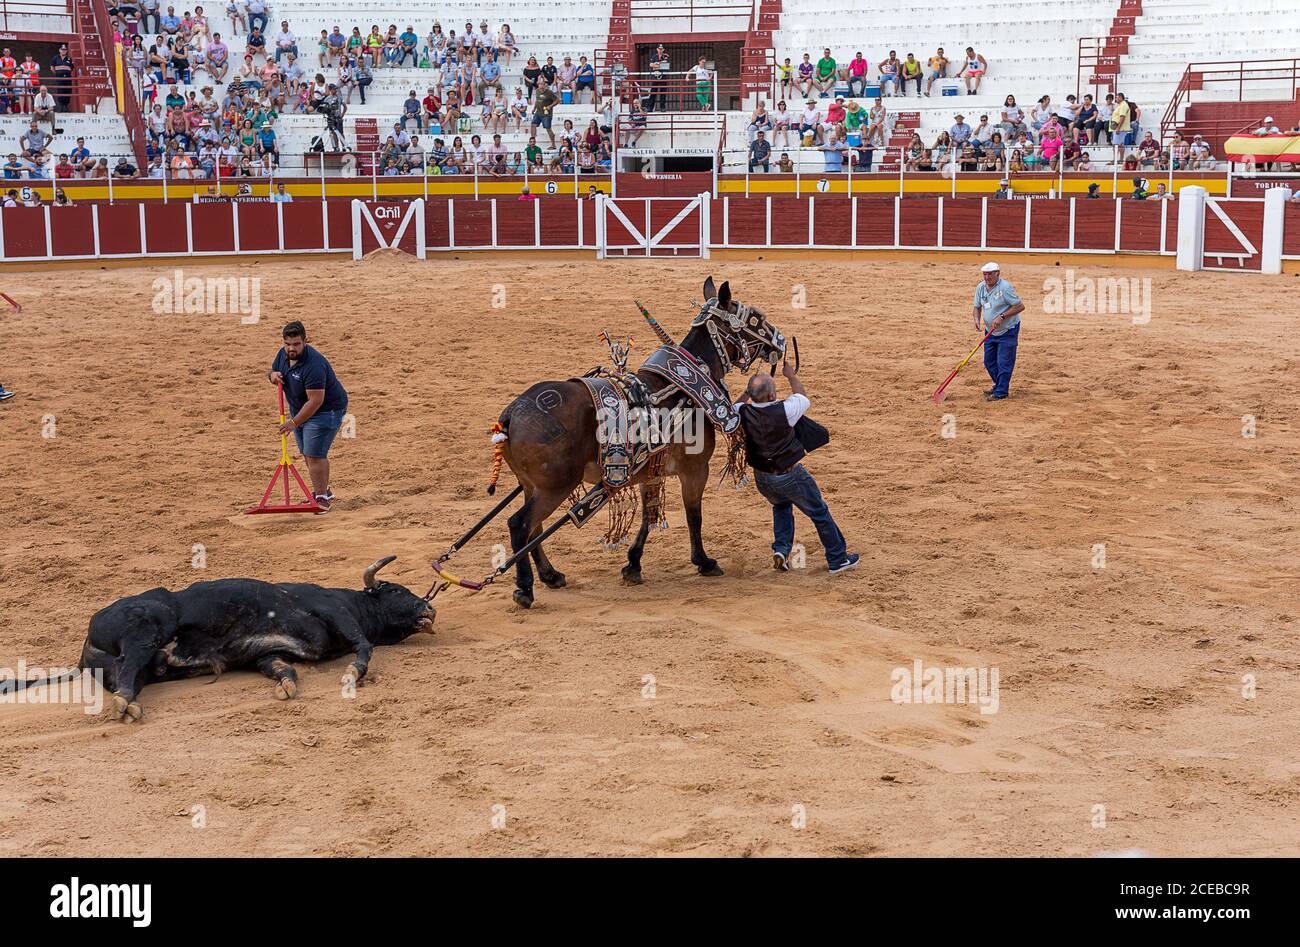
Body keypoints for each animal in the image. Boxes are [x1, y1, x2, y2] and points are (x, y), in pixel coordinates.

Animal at [9, 556, 435, 723]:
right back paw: (128, 703)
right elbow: (361, 646)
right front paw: (353, 673)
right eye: (396, 590)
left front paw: (285, 686)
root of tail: (86, 643)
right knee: (130, 668)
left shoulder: (264, 655)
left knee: (132, 675)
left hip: (129, 662)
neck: (352, 600)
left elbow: (281, 667)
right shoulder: (335, 613)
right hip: (146, 629)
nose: (429, 609)